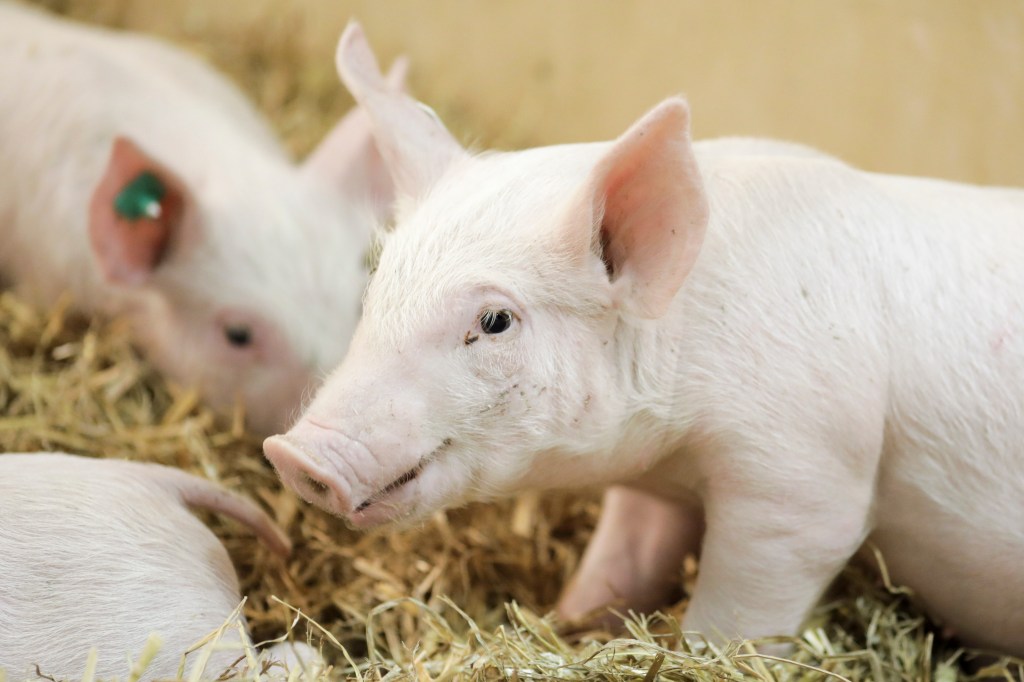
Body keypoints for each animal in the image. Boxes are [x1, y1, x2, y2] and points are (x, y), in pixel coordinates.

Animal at [264, 22, 1024, 656]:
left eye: (494, 321)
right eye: (376, 286)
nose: (296, 455)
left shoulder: (807, 475)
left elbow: (747, 603)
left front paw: (696, 653)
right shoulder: (656, 482)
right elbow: (623, 555)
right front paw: (570, 619)